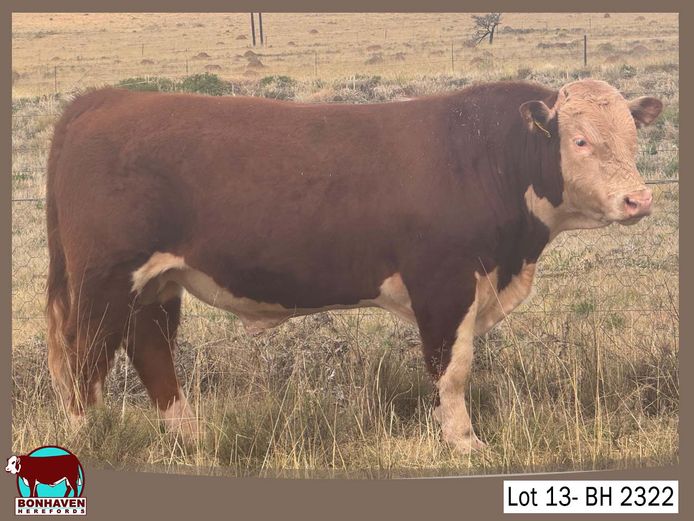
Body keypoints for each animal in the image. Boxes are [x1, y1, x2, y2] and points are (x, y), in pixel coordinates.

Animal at [45, 79, 662, 453]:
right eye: (579, 140)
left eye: (634, 137)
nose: (638, 200)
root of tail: (104, 98)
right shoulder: (444, 282)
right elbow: (452, 367)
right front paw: (464, 442)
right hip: (103, 280)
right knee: (83, 356)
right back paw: (84, 437)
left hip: (156, 284)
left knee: (150, 349)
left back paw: (192, 436)